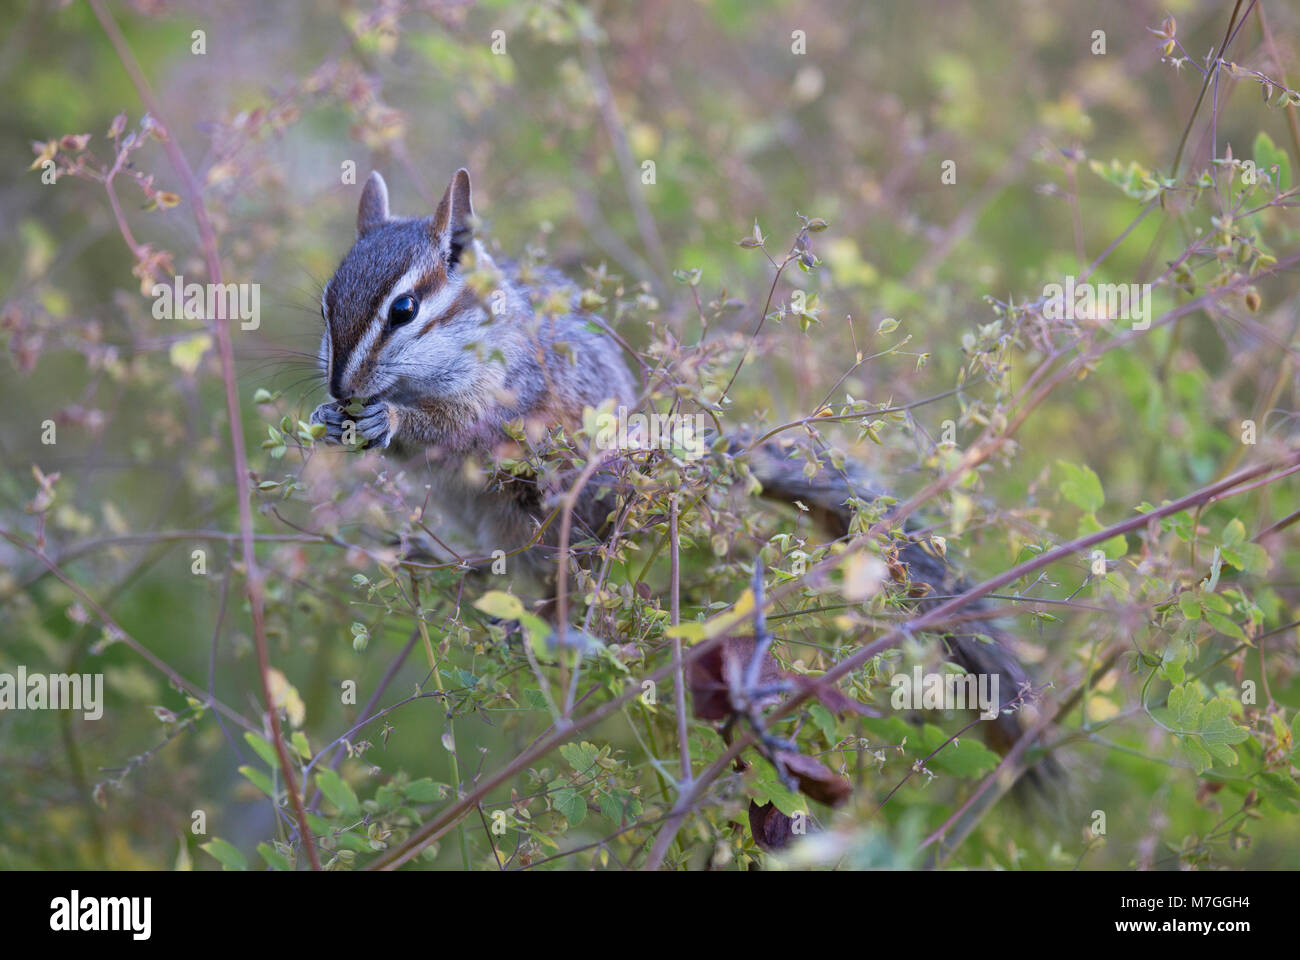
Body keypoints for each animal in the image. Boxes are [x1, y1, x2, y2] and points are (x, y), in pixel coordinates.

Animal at [309, 168, 1045, 761]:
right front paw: (330, 420)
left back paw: (553, 634)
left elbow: (457, 429)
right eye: (325, 300)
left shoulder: (510, 395)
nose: (342, 388)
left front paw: (388, 420)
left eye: (405, 308)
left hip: (553, 522)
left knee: (561, 584)